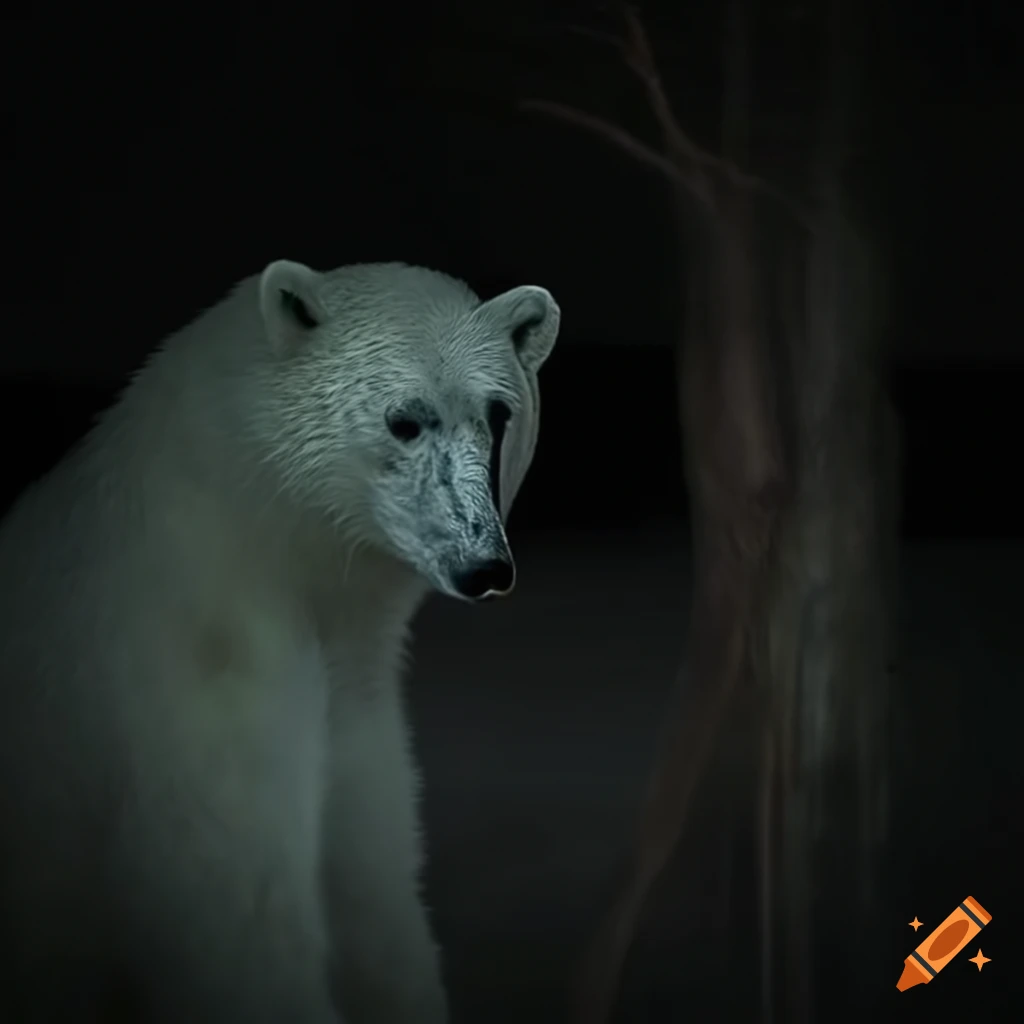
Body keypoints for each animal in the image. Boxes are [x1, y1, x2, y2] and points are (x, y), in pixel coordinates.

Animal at [0, 259, 560, 1023]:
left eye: (498, 413)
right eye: (404, 419)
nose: (484, 566)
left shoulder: (354, 696)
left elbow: (370, 881)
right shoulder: (197, 679)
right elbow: (242, 907)